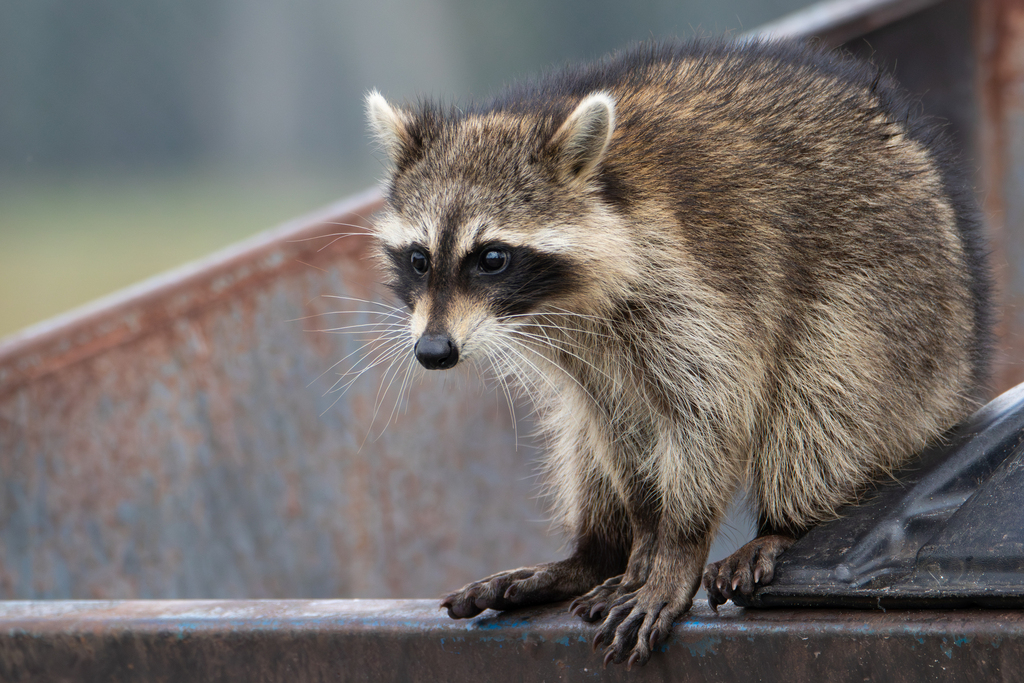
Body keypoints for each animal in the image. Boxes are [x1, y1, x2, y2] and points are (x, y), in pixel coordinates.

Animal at [364, 39, 991, 667]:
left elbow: (712, 409)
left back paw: (787, 520)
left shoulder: (689, 285)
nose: (433, 351)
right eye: (419, 259)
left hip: (895, 306)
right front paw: (643, 535)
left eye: (491, 258)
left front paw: (678, 545)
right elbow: (614, 426)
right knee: (583, 445)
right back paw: (591, 553)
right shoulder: (583, 355)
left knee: (823, 400)